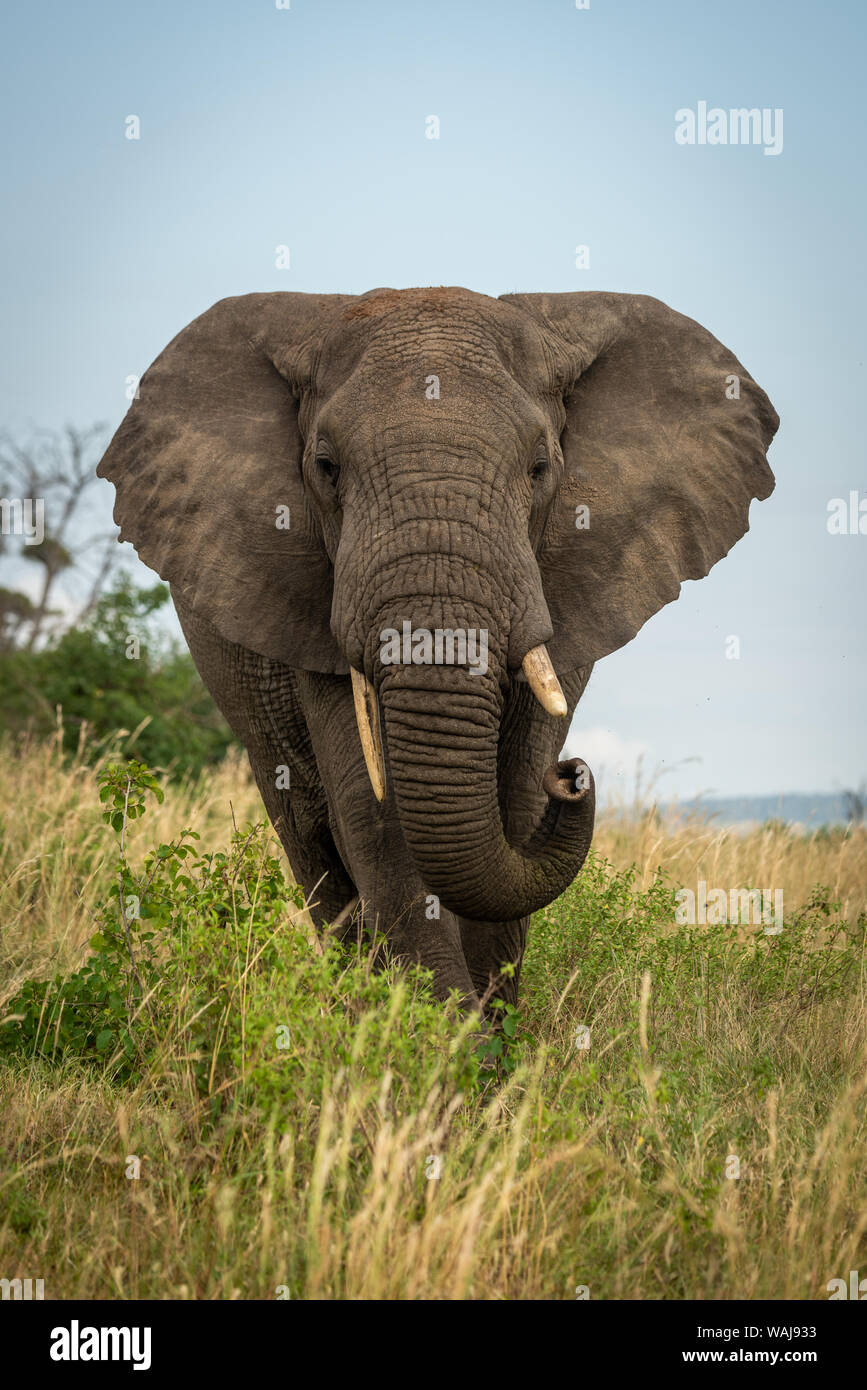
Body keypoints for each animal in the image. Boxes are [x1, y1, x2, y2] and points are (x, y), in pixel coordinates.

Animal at [97, 287, 778, 1017]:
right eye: (325, 468)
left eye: (540, 468)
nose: (574, 774)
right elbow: (376, 816)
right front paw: (438, 1038)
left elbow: (514, 801)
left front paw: (489, 1042)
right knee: (310, 841)